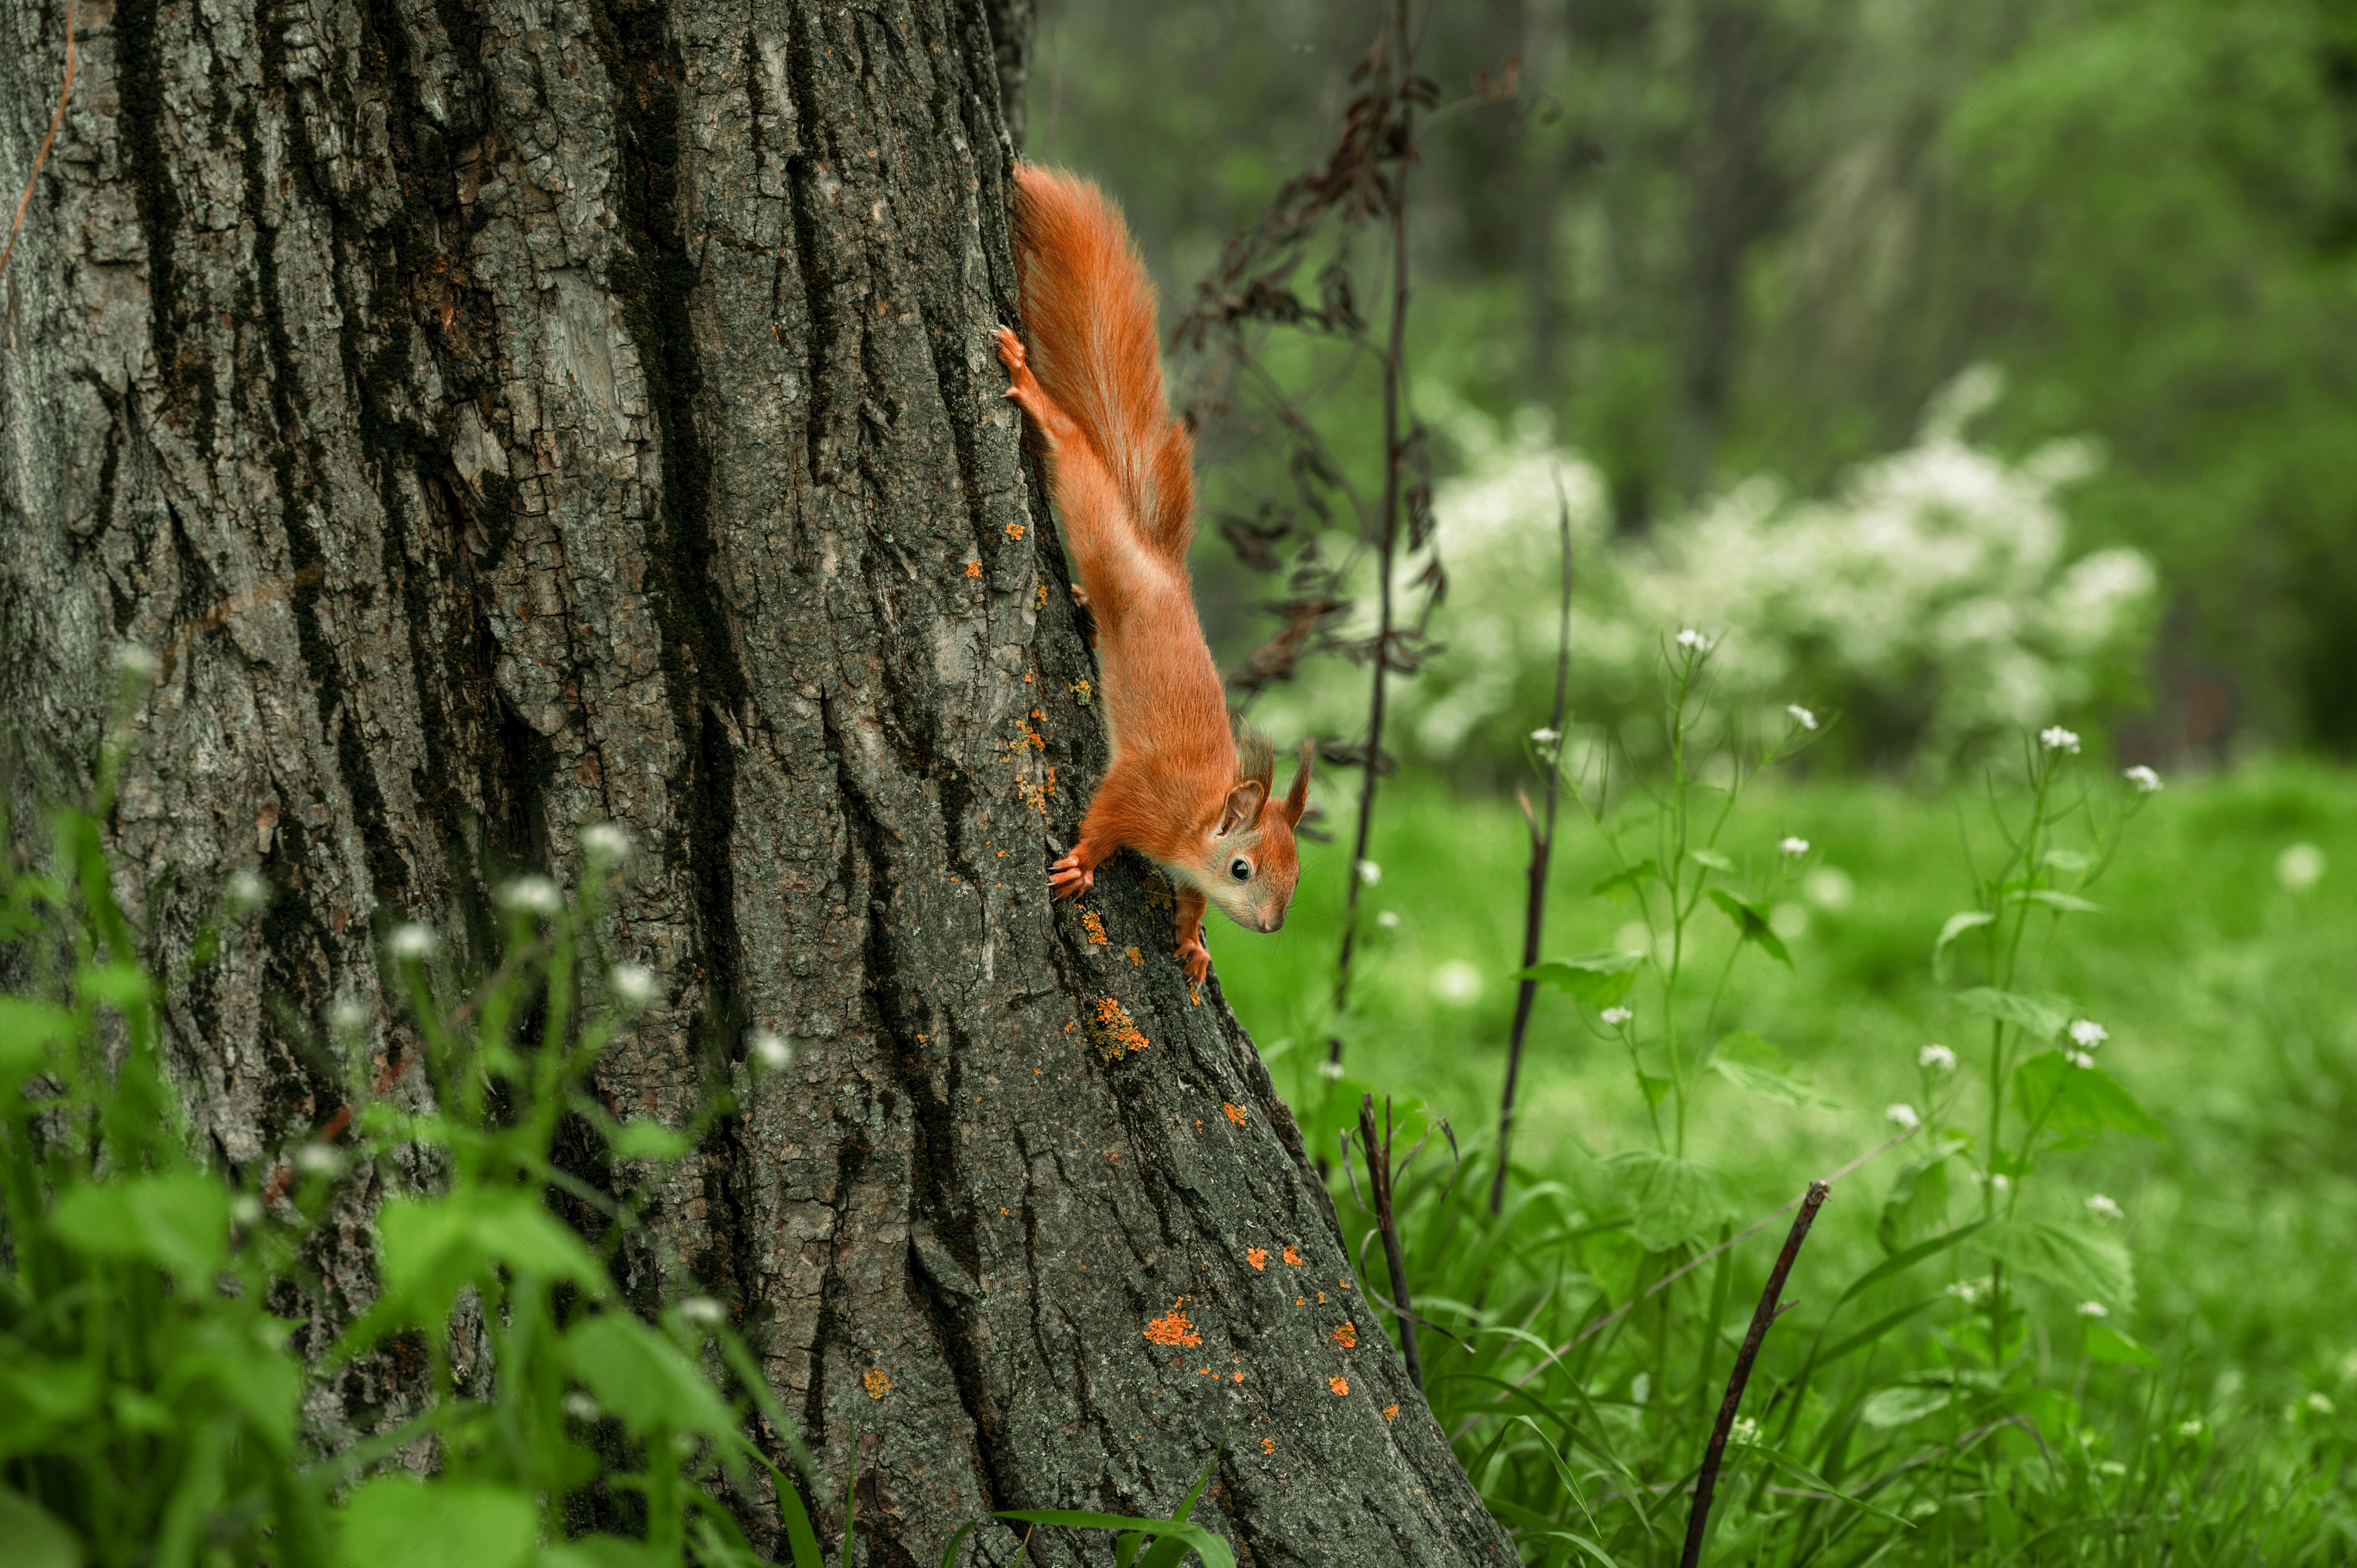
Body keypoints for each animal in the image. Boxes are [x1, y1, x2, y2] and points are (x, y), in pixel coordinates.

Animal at [994, 163, 1312, 985]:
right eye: (1242, 867)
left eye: (1296, 874)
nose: (1271, 926)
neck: (1197, 822)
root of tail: (1160, 568)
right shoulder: (1142, 793)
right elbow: (1106, 814)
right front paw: (1080, 860)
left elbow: (1188, 902)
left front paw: (1194, 939)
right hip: (1098, 527)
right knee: (1076, 457)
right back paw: (1033, 393)